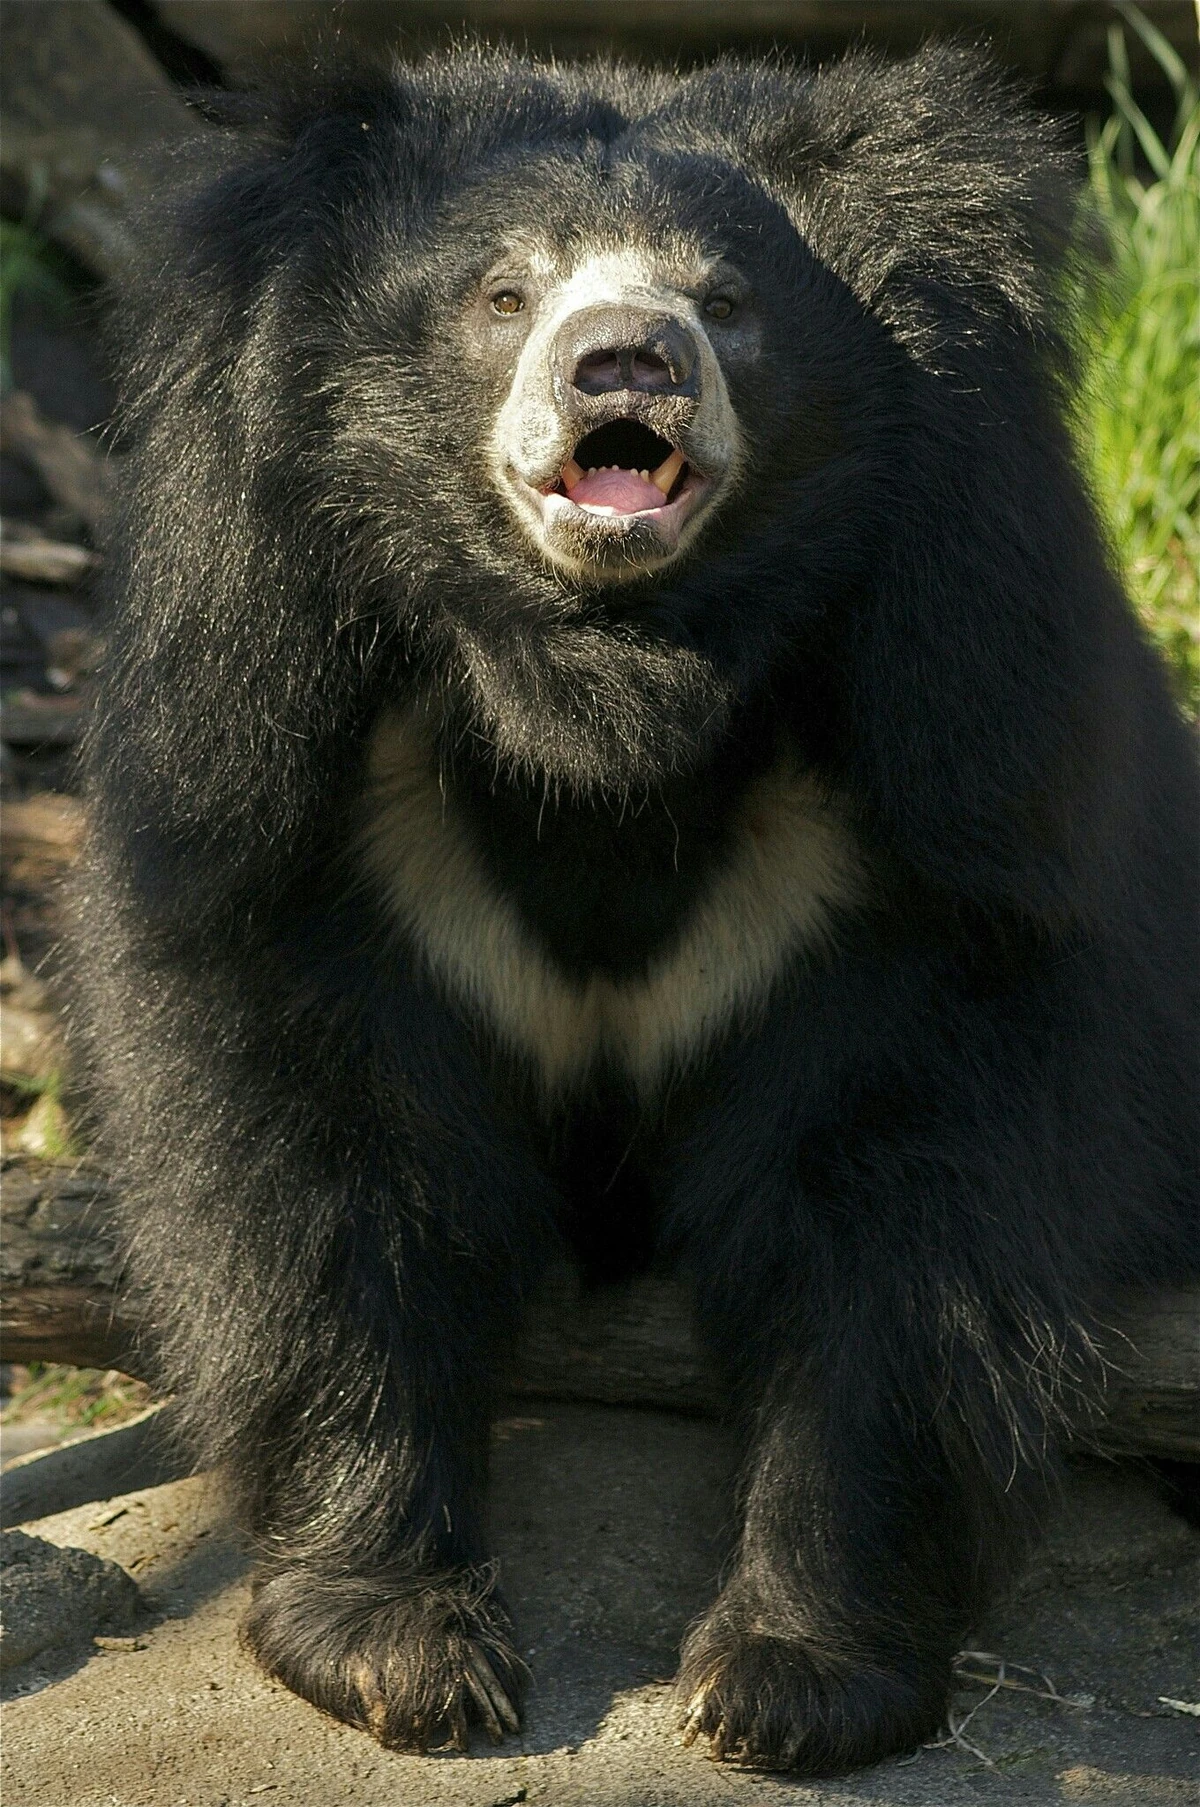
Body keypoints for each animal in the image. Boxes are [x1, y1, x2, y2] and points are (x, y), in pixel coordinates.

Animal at [74, 40, 1199, 1775]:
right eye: (502, 292)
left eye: (727, 300)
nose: (627, 362)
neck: (606, 685)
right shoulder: (277, 727)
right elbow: (320, 1141)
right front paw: (398, 1640)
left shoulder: (948, 741)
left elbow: (900, 1198)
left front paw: (788, 1676)